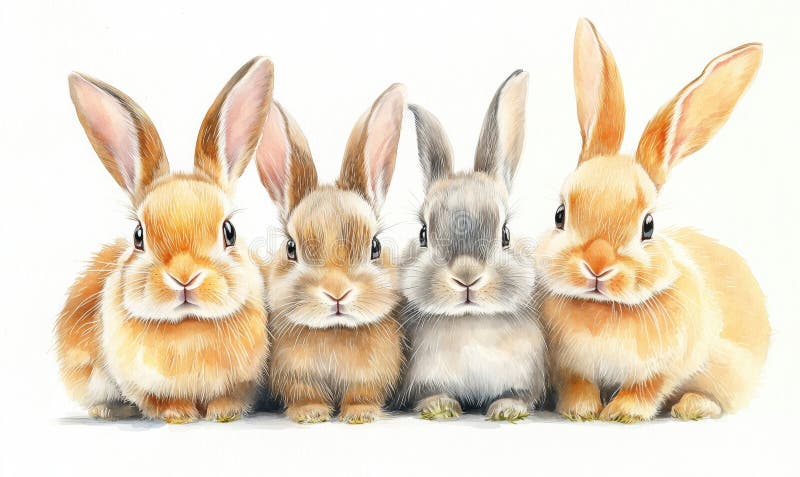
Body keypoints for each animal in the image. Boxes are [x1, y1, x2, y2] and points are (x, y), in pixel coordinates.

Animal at [55, 57, 275, 423]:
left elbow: (231, 397)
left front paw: (222, 413)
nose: (184, 277)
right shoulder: (140, 384)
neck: (188, 326)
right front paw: (179, 415)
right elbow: (156, 400)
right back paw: (108, 410)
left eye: (229, 231)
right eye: (138, 235)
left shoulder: (245, 383)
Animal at [256, 84, 407, 424]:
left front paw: (360, 415)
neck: (334, 331)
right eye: (291, 248)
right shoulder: (296, 377)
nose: (337, 292)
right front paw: (310, 414)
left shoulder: (370, 378)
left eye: (375, 246)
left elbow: (361, 394)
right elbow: (304, 394)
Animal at [398, 70, 547, 422]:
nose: (467, 277)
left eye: (505, 234)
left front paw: (507, 410)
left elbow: (520, 396)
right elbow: (429, 394)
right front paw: (440, 407)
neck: (471, 320)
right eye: (423, 234)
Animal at [535, 18, 770, 423]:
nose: (597, 265)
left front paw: (620, 414)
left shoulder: (669, 367)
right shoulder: (570, 367)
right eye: (560, 215)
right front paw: (581, 411)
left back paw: (692, 406)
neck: (605, 309)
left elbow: (646, 388)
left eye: (648, 226)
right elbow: (579, 384)